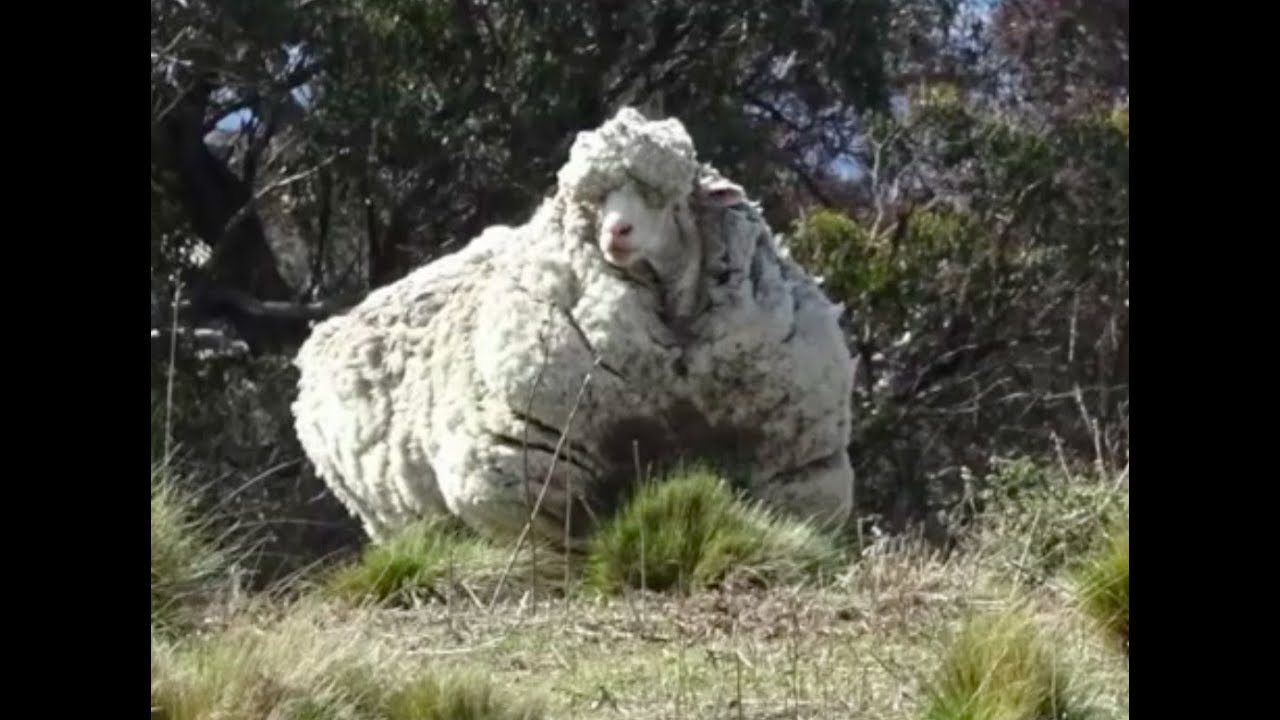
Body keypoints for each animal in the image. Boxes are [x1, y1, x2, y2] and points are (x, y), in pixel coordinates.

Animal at [291, 107, 855, 552]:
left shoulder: (796, 467)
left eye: (664, 196)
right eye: (593, 201)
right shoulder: (527, 472)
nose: (616, 233)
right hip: (393, 516)